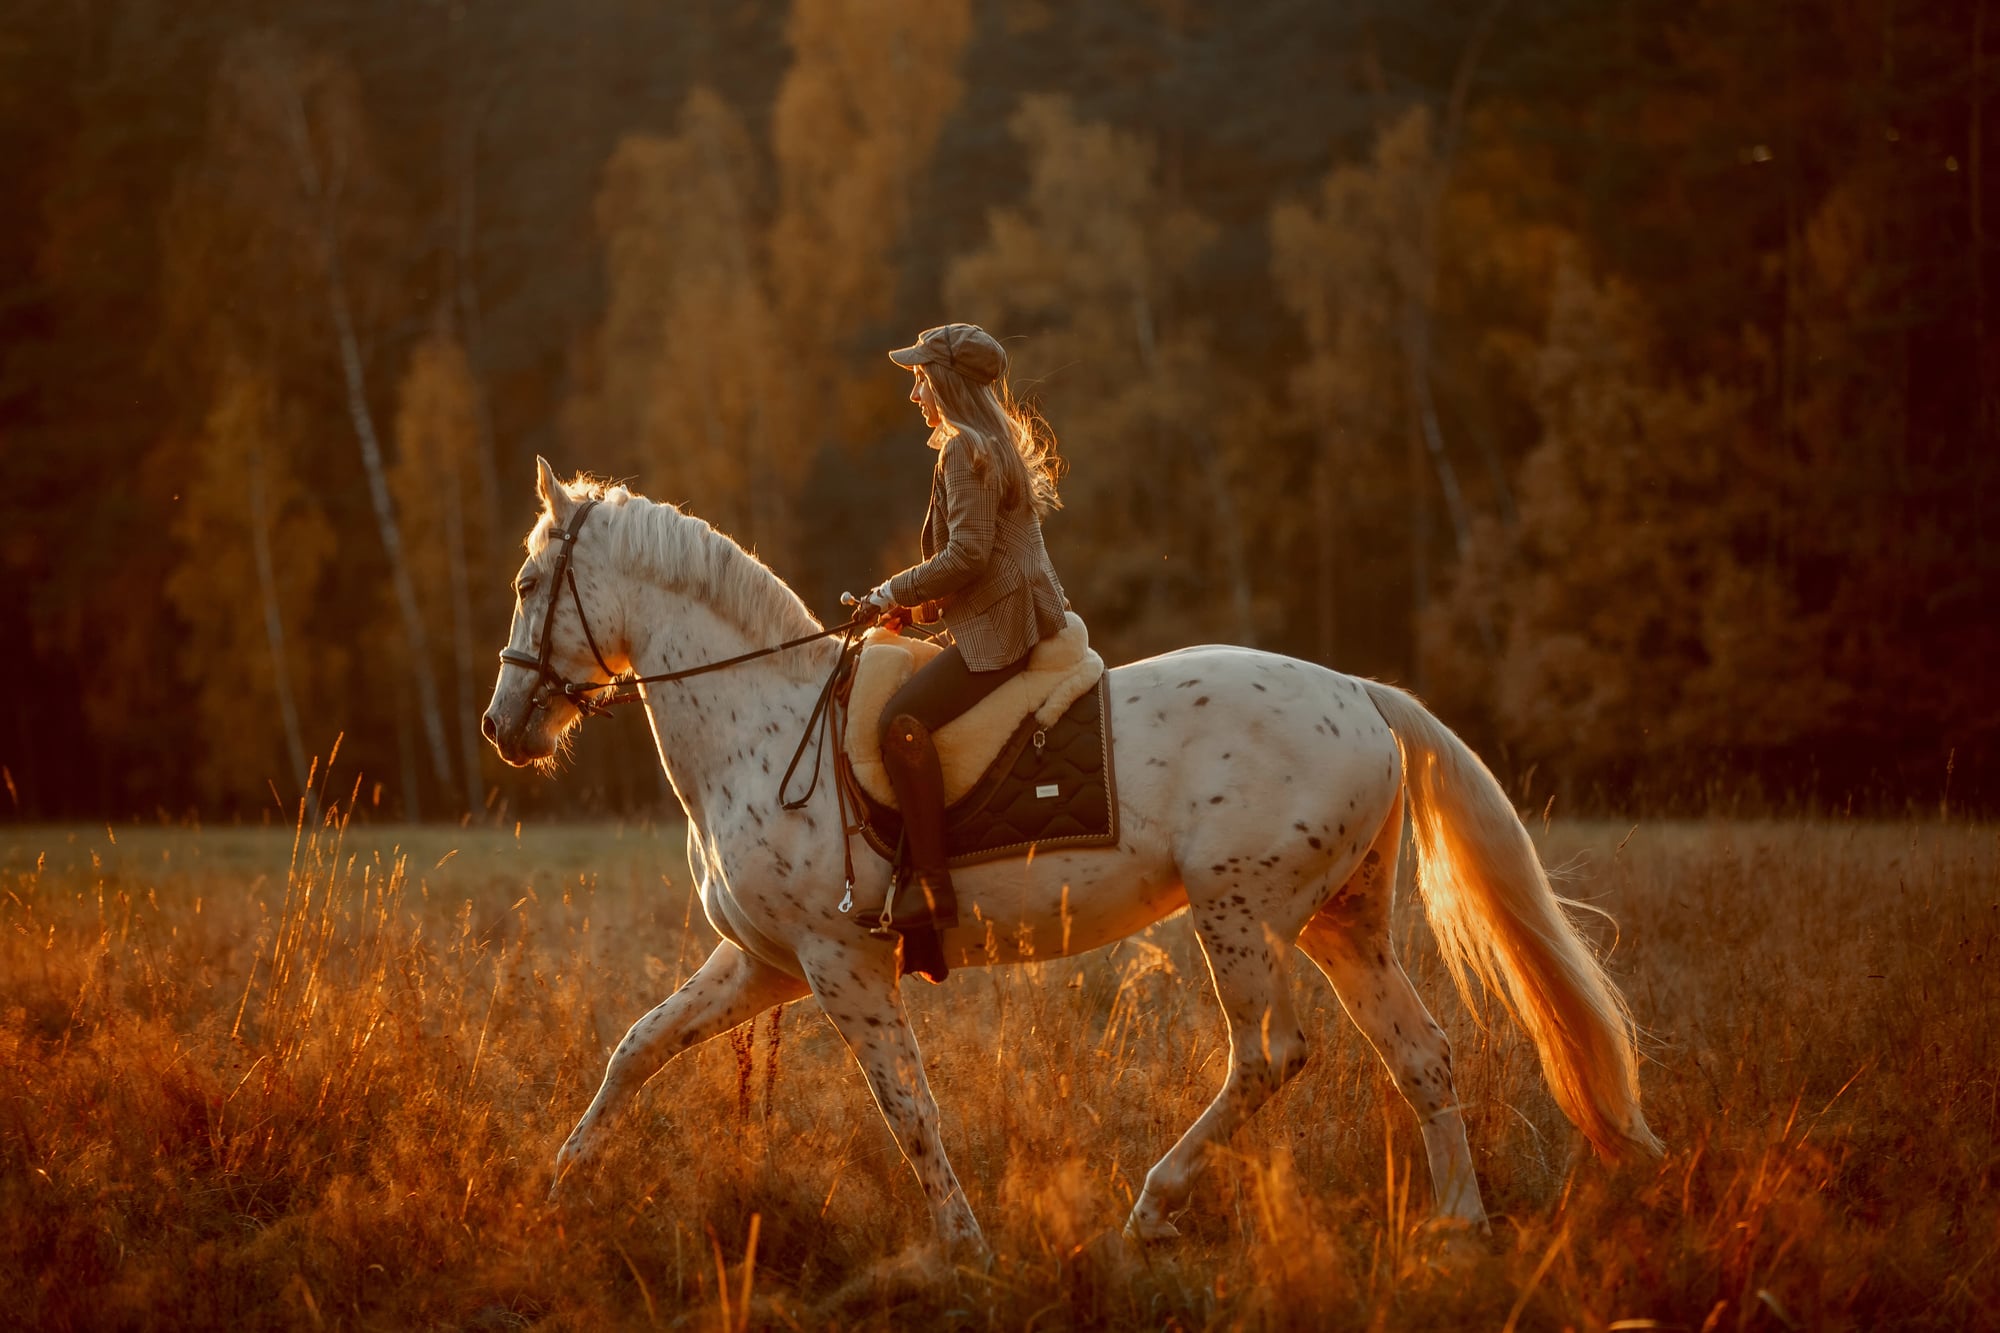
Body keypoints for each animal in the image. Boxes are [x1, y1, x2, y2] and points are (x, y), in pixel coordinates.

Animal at [480, 458, 1662, 1255]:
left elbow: (907, 1106)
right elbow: (637, 1048)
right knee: (1419, 1054)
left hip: (1237, 916)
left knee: (1267, 1058)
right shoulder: (767, 960)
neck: (759, 720)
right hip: (1343, 922)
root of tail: (1362, 695)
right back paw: (1459, 1227)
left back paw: (1153, 1205)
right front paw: (555, 1183)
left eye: (531, 582)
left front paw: (962, 1247)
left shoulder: (838, 960)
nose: (503, 726)